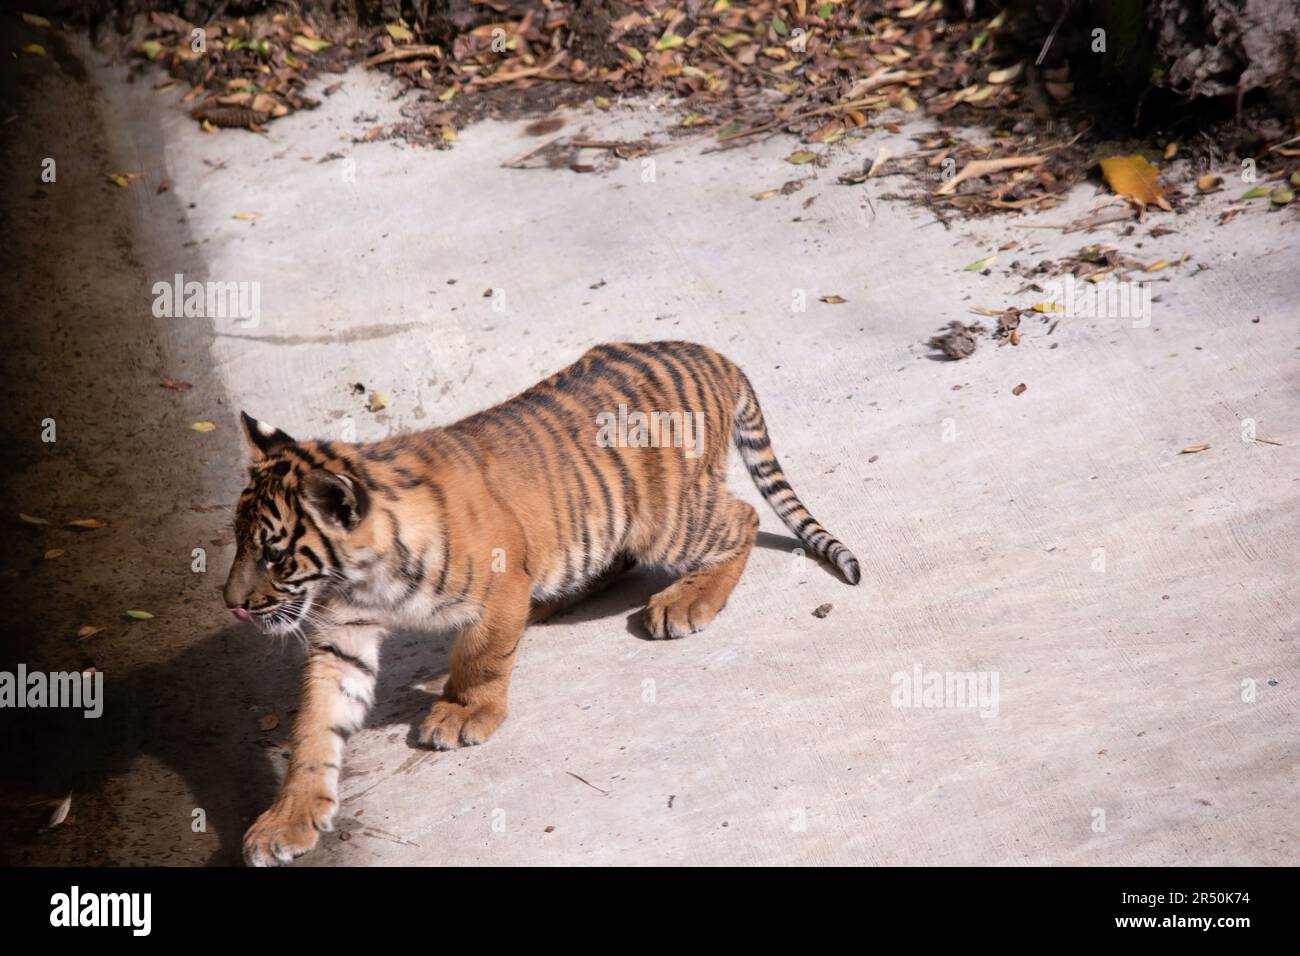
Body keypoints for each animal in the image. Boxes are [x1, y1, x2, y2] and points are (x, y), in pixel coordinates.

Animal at [224, 340, 859, 866]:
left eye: (275, 556)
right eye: (238, 541)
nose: (231, 605)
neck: (363, 576)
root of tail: (714, 355)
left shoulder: (499, 583)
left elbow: (482, 657)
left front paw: (463, 714)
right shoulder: (342, 634)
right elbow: (315, 725)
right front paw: (287, 820)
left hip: (666, 517)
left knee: (742, 518)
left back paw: (686, 603)